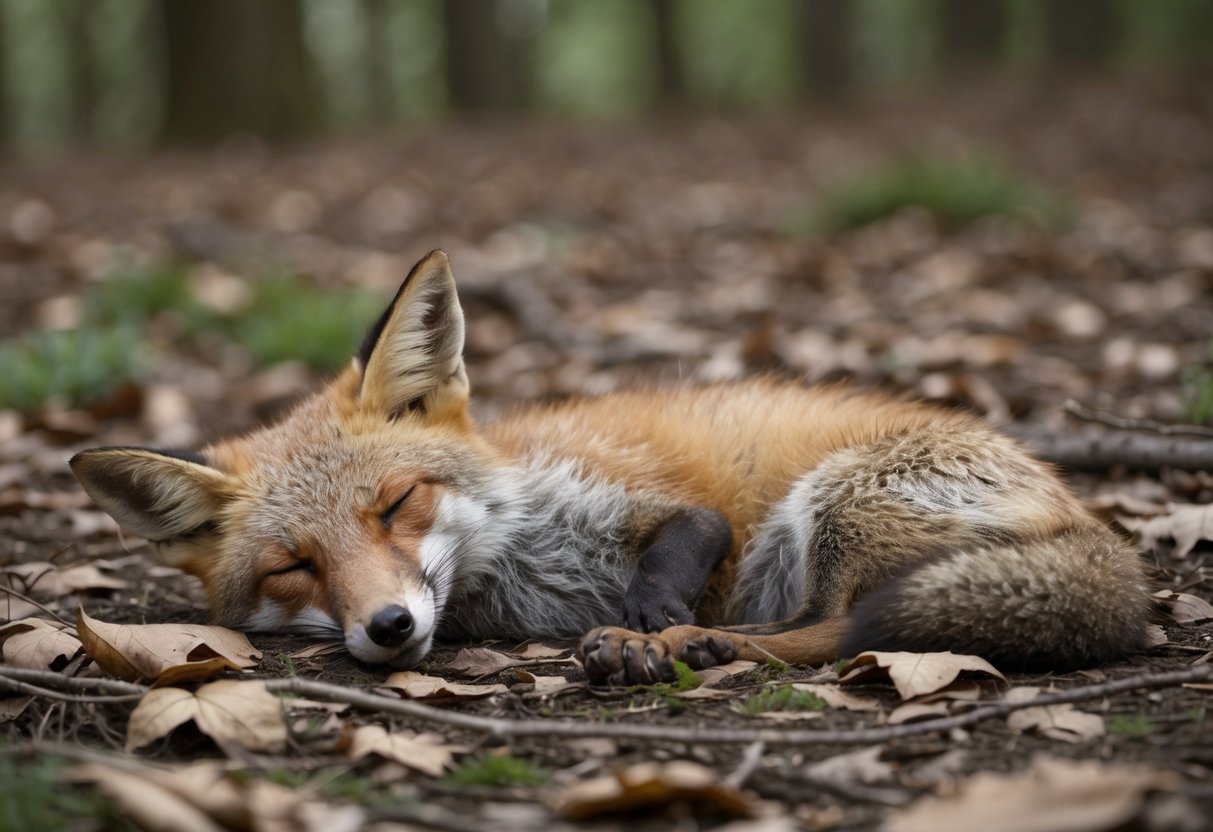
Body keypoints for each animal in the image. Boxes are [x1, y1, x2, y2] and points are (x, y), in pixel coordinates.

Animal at [70, 250, 1152, 685]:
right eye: (294, 566)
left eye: (398, 503)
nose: (388, 628)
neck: (516, 571)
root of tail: (1092, 523)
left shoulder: (648, 489)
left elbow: (688, 536)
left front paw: (649, 614)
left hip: (837, 504)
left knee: (837, 630)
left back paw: (683, 644)